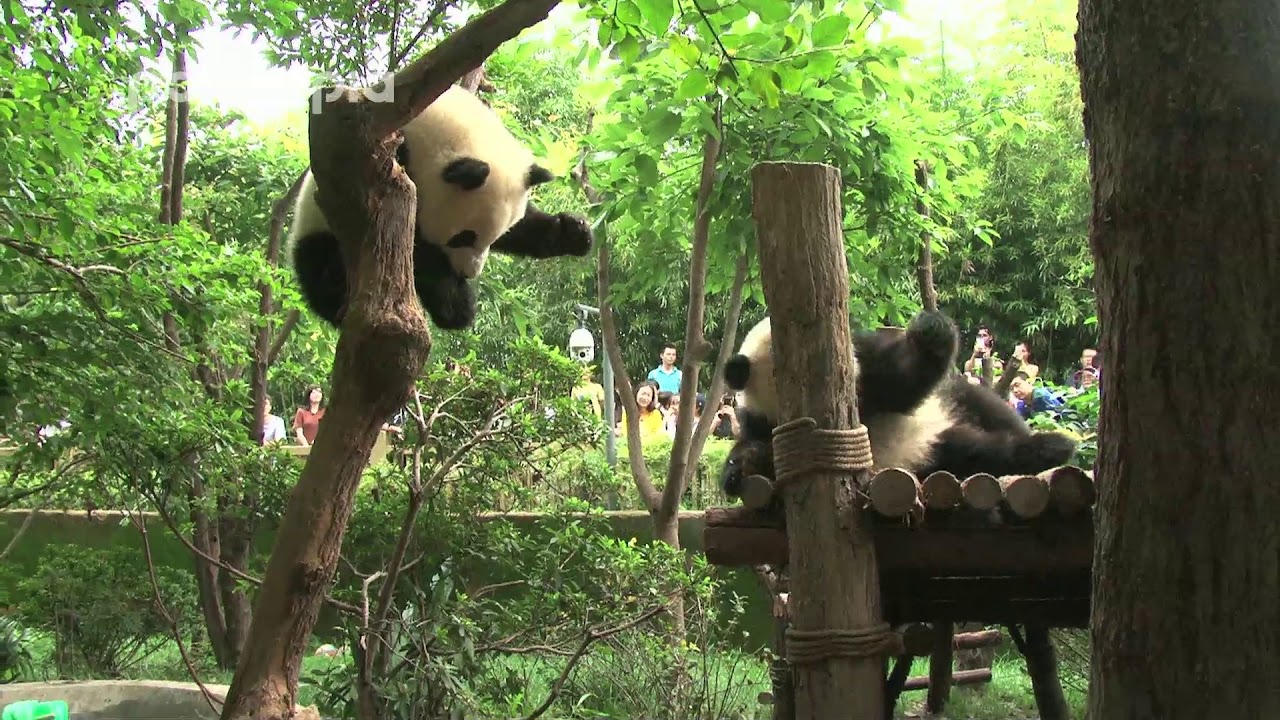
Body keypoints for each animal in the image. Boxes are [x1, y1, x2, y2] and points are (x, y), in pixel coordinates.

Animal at [287, 85, 594, 331]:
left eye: (495, 238)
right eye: (463, 237)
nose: (469, 273)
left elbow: (527, 228)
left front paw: (574, 233)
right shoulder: (387, 171)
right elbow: (411, 247)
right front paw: (457, 305)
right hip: (318, 231)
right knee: (324, 273)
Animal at [718, 310, 1079, 499]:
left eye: (842, 341)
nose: (842, 367)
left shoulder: (870, 375)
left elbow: (903, 380)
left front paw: (931, 329)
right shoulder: (764, 418)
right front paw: (740, 468)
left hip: (953, 401)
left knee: (988, 408)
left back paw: (1051, 444)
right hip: (930, 453)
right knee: (982, 453)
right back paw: (1048, 448)